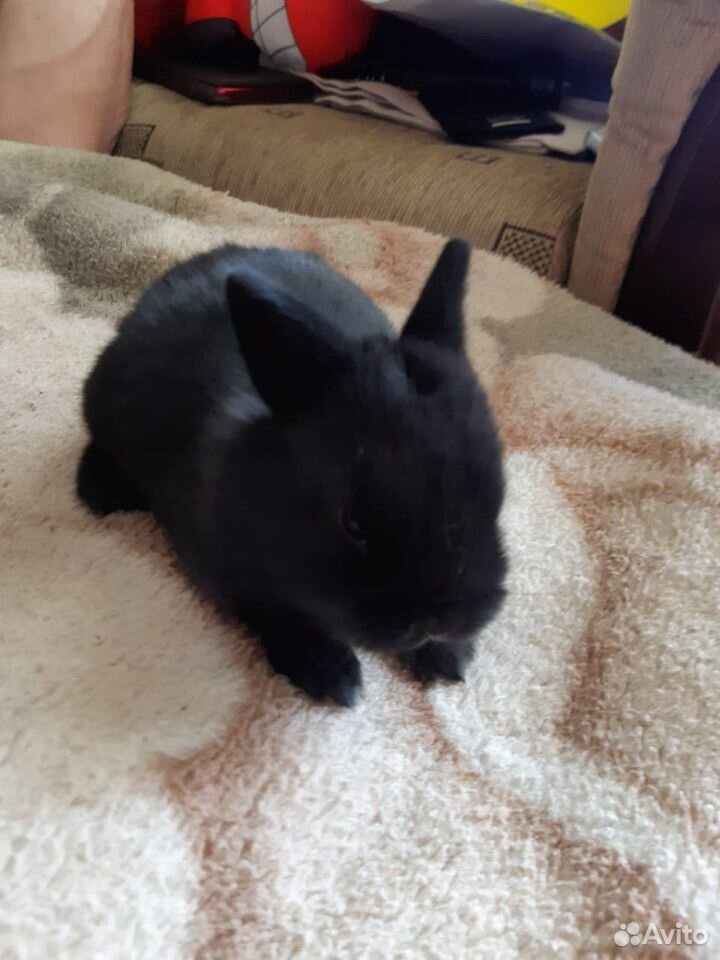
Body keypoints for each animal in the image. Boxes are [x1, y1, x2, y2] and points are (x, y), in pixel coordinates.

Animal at [77, 239, 507, 707]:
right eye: (352, 525)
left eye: (495, 496)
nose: (434, 620)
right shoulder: (232, 574)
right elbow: (282, 617)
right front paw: (335, 677)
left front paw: (447, 656)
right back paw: (97, 491)